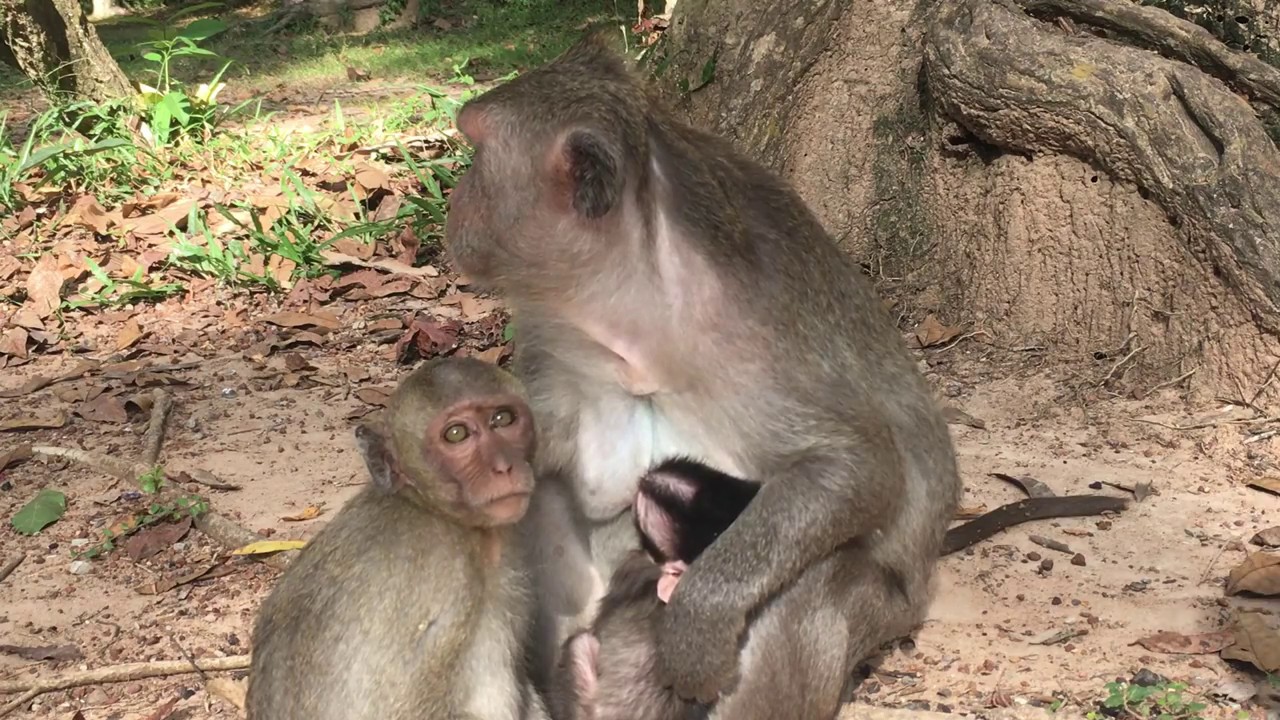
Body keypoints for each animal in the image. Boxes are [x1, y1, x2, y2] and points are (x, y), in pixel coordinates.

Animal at [444, 31, 962, 717]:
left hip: (886, 610)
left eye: (476, 152)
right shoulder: (558, 326)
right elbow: (565, 465)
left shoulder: (753, 329)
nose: (453, 200)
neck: (631, 291)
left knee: (811, 583)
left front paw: (698, 619)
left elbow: (855, 465)